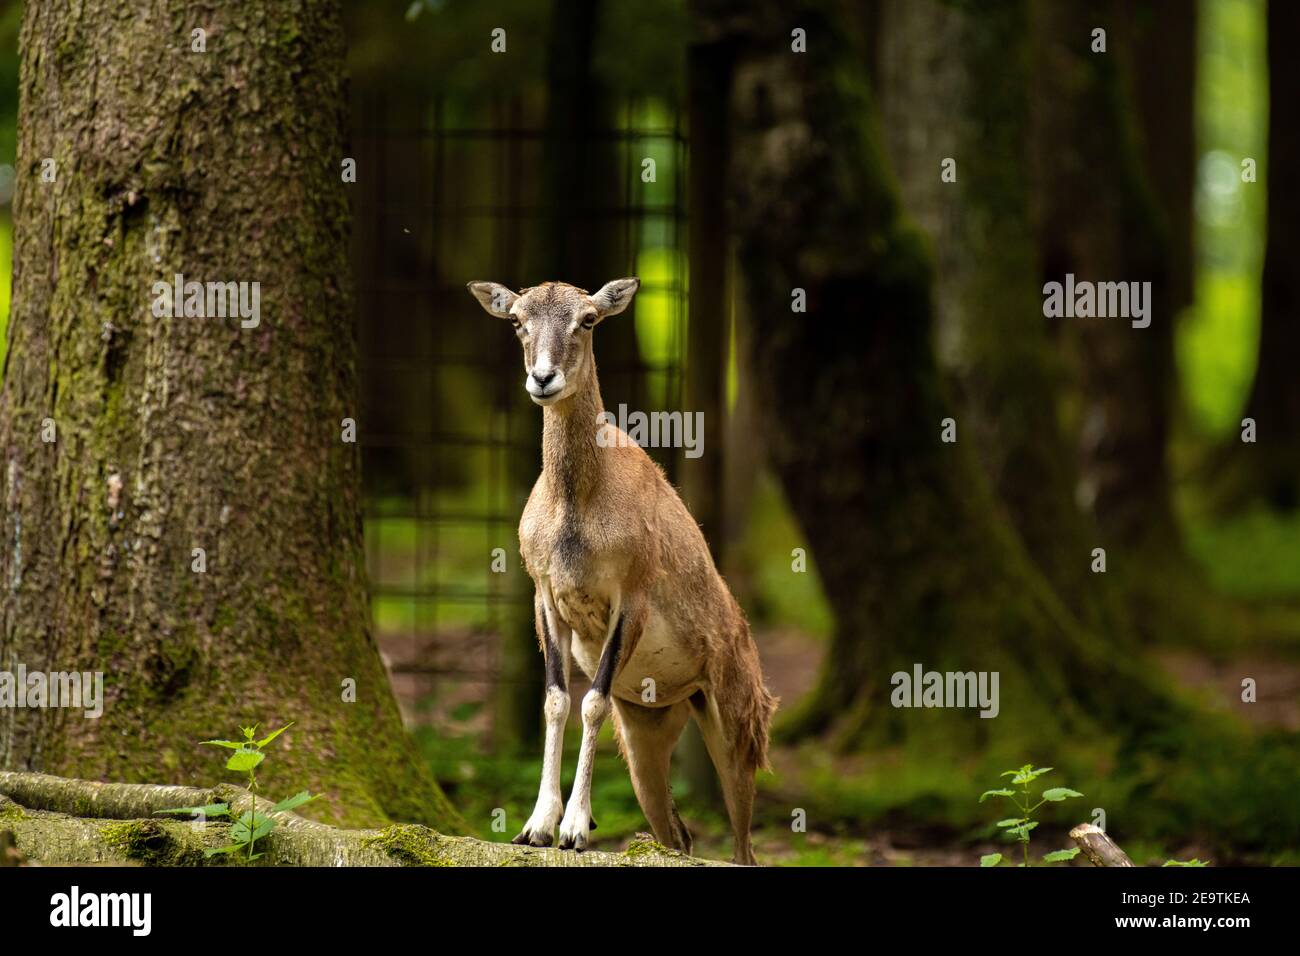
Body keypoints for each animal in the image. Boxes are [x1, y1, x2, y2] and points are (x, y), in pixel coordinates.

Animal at [467, 277, 778, 865]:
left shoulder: (630, 595)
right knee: (675, 831)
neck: (578, 511)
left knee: (744, 845)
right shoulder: (545, 594)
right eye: (517, 319)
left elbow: (592, 701)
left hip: (737, 726)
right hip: (646, 728)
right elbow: (556, 699)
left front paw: (574, 830)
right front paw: (534, 827)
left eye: (588, 319)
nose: (543, 378)